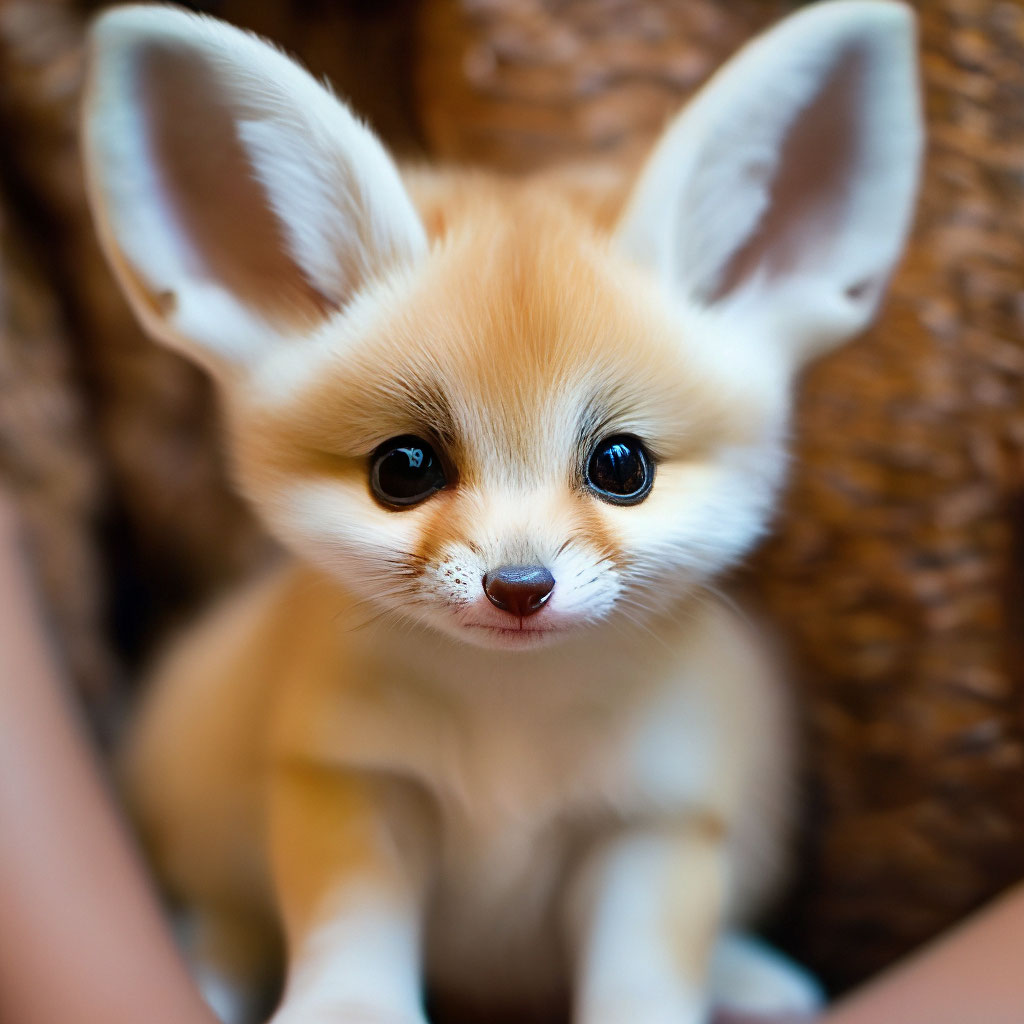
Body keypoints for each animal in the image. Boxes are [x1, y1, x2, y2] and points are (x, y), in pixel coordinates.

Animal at [81, 3, 922, 1023]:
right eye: (403, 469)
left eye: (622, 467)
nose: (519, 587)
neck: (510, 726)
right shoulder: (351, 784)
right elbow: (347, 937)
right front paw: (347, 1009)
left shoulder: (654, 825)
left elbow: (644, 972)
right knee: (225, 910)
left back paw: (748, 977)